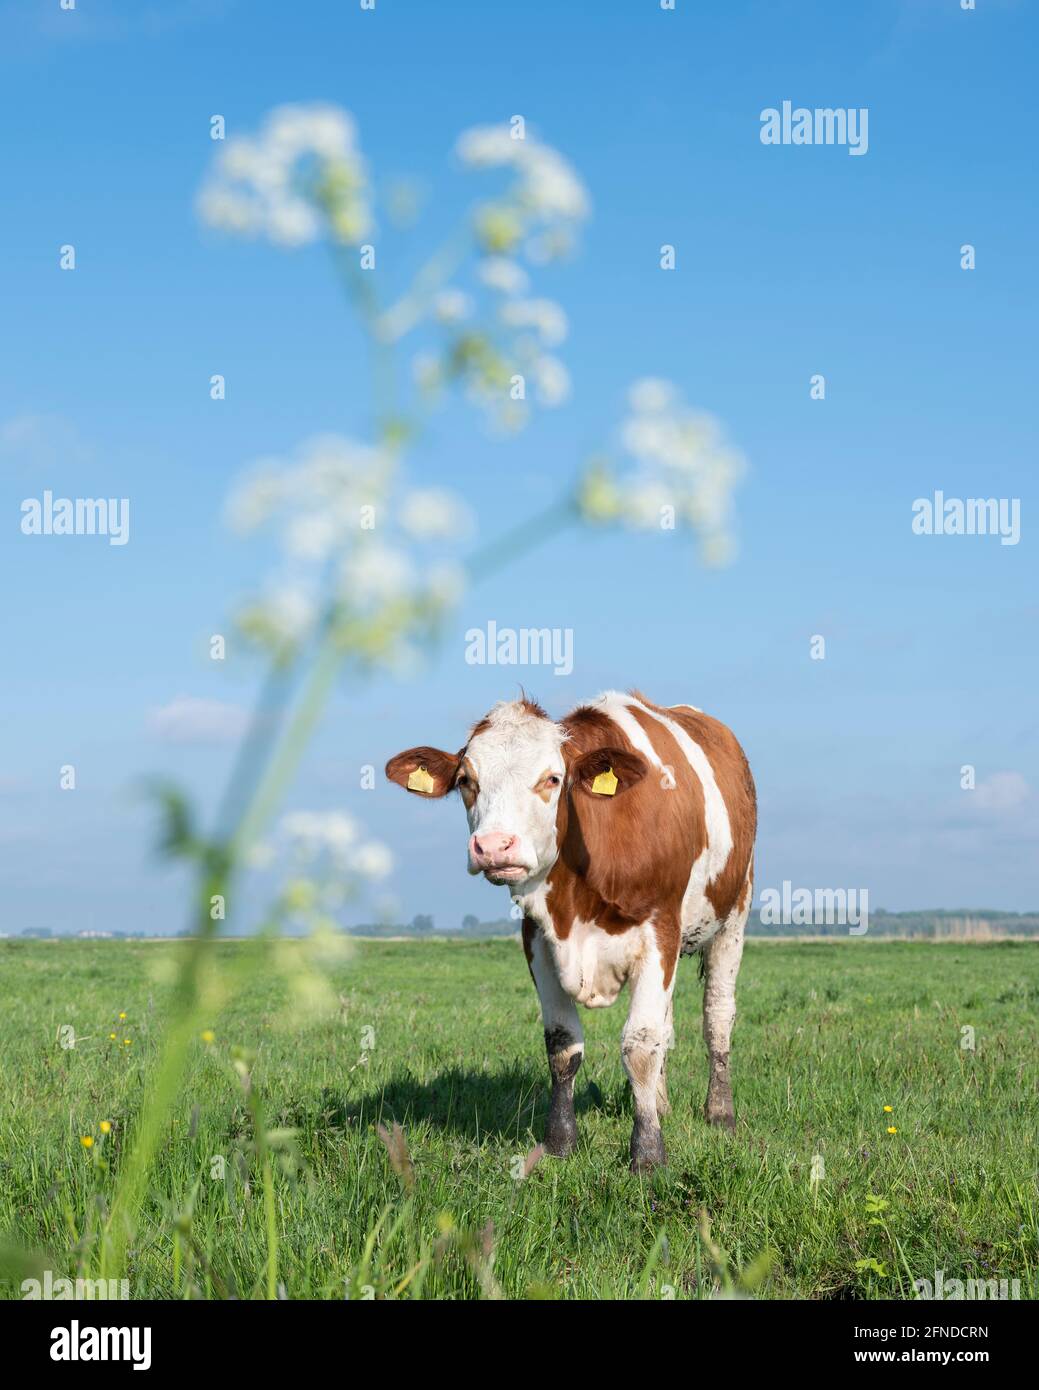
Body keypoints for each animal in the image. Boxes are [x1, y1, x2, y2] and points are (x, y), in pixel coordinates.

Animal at [385, 689, 756, 1173]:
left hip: (735, 912)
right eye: (466, 780)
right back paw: (661, 1103)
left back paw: (719, 1113)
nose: (493, 846)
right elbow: (563, 1043)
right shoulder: (537, 939)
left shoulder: (661, 928)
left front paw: (647, 1154)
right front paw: (560, 1143)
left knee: (717, 1017)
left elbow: (640, 1042)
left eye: (553, 778)